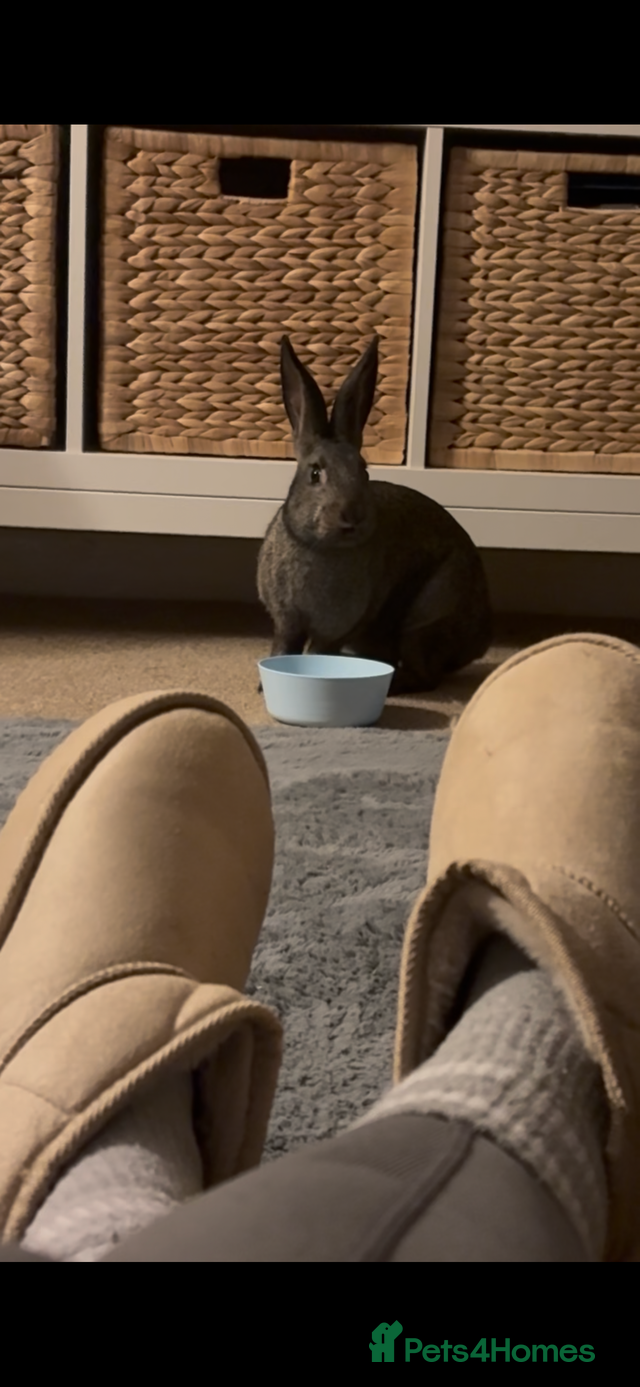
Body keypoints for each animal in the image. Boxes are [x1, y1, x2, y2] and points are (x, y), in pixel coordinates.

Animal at [257, 335, 492, 695]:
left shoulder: (334, 629)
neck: (320, 548)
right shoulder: (287, 622)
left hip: (424, 619)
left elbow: (318, 652)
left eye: (364, 472)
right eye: (315, 473)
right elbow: (284, 648)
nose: (351, 516)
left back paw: (395, 684)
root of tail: (479, 642)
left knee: (426, 676)